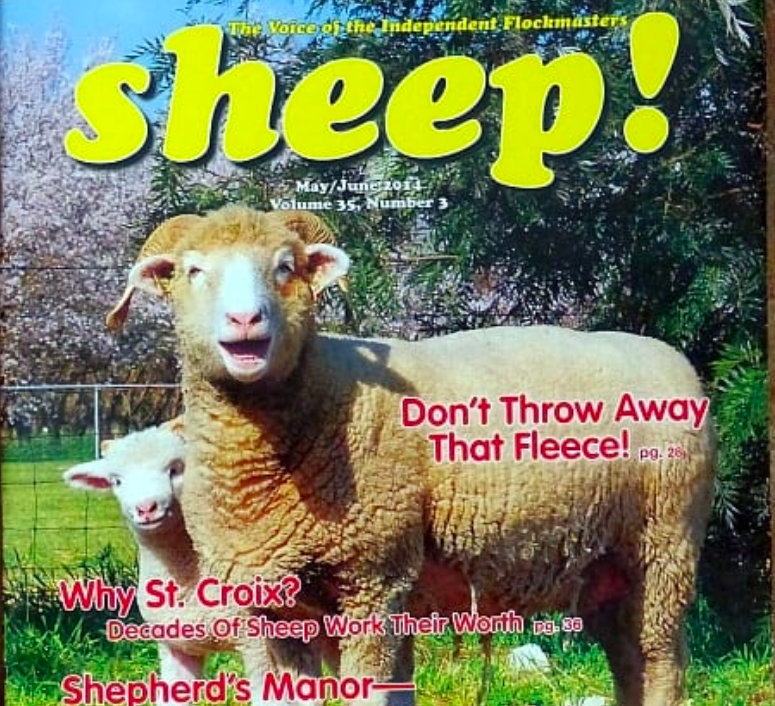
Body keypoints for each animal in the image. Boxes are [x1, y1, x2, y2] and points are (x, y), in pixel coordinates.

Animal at [63, 419, 330, 706]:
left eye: (175, 469)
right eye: (117, 481)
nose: (146, 508)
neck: (187, 576)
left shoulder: (257, 643)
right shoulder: (175, 645)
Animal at [110, 204, 715, 706]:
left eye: (286, 267)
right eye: (193, 270)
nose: (245, 321)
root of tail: (672, 359)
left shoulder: (372, 579)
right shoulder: (270, 605)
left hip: (665, 547)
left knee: (661, 663)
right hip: (607, 571)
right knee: (630, 663)